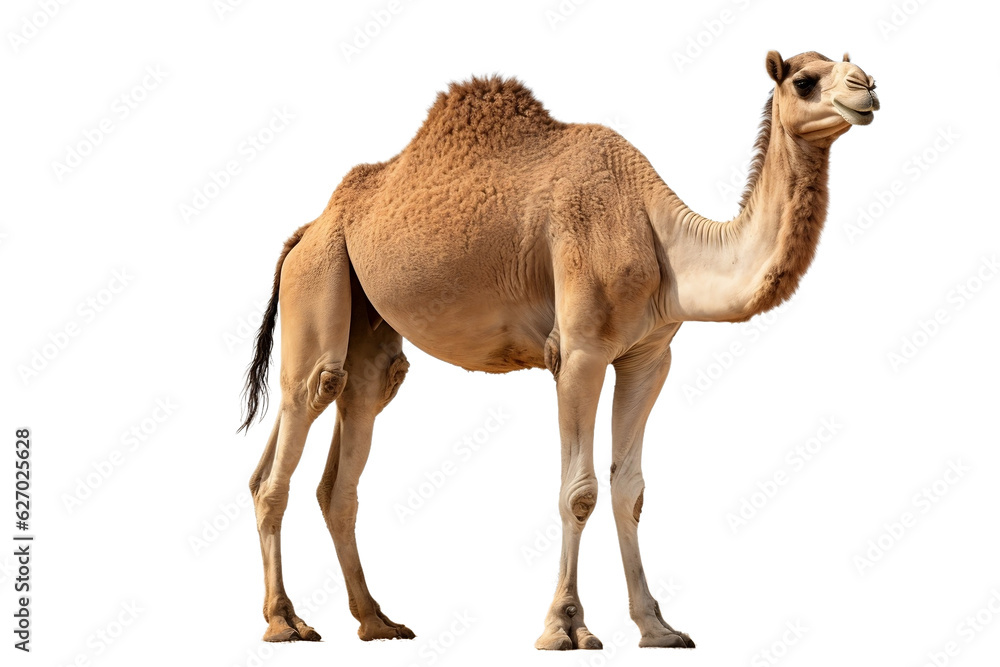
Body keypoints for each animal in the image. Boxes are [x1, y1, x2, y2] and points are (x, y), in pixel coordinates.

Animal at [239, 50, 878, 650]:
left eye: (851, 68)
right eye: (804, 80)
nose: (866, 88)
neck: (659, 237)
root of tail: (307, 228)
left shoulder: (648, 357)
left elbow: (629, 489)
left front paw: (657, 626)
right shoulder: (579, 352)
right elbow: (581, 491)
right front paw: (566, 626)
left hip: (364, 319)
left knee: (346, 441)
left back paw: (376, 621)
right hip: (318, 277)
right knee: (302, 416)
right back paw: (284, 622)